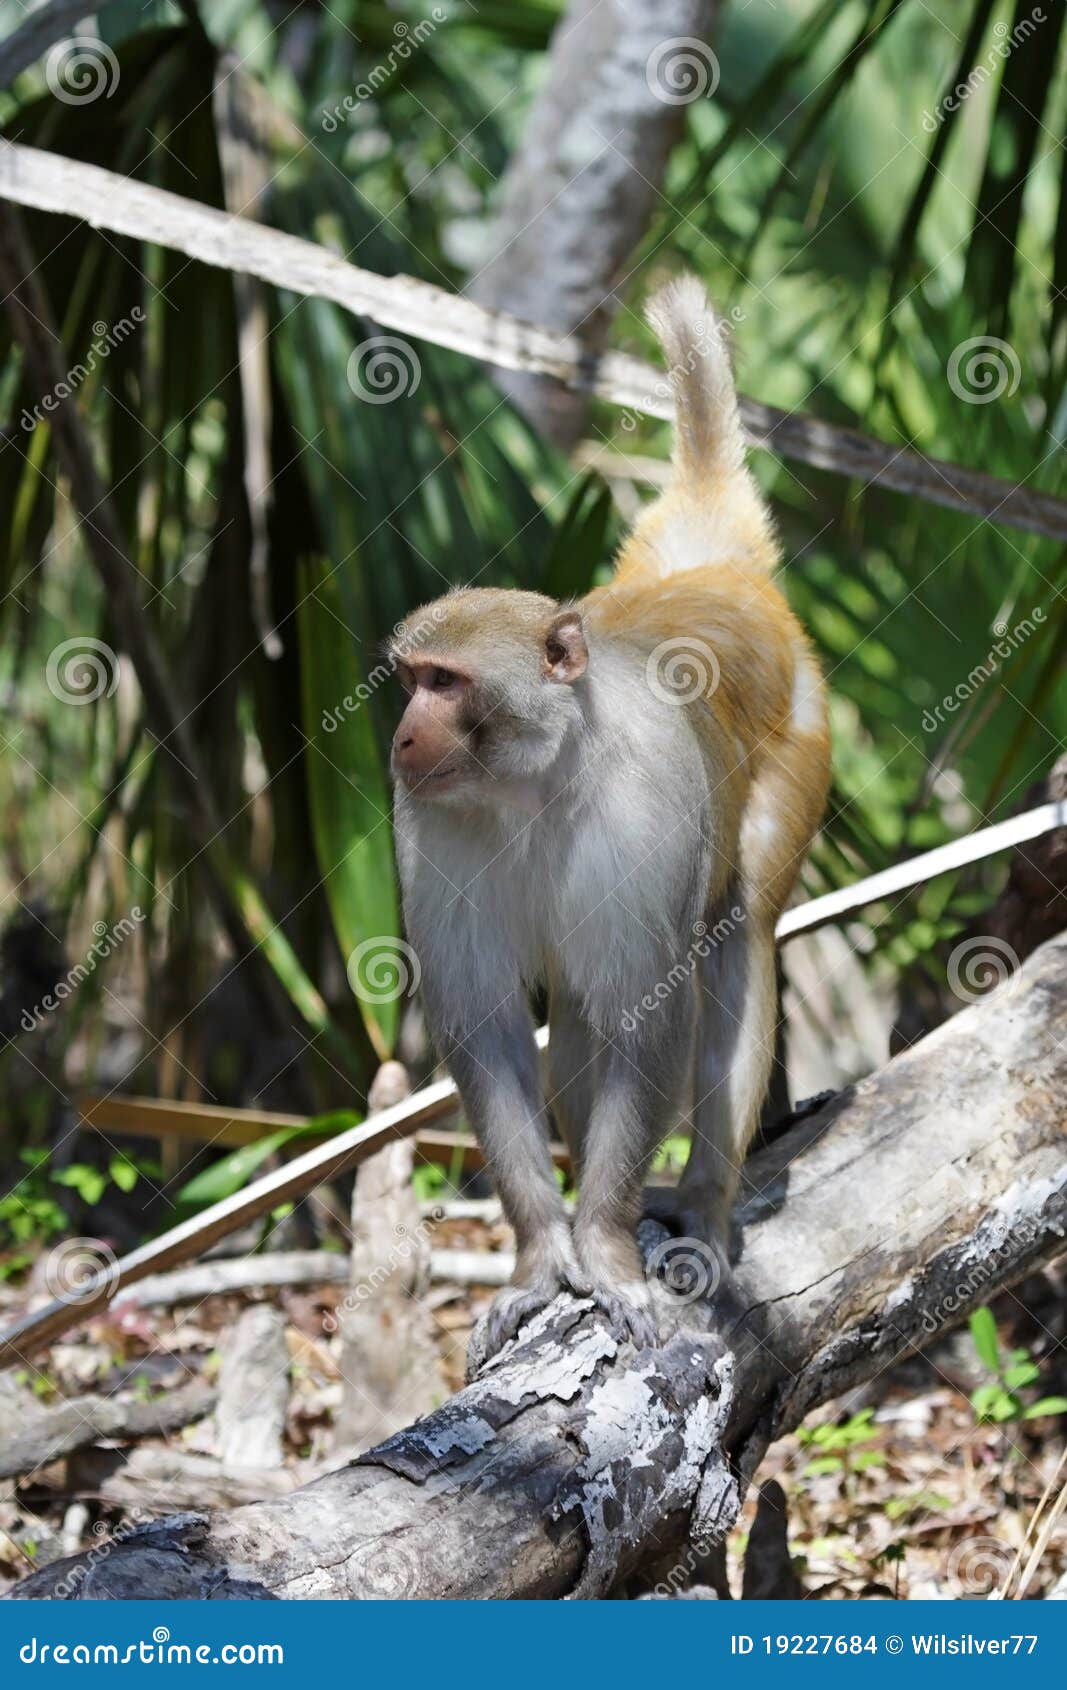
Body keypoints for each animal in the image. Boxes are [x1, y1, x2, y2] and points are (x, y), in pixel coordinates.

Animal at [387, 276, 831, 1367]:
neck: (535, 777)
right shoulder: (429, 814)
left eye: (445, 681)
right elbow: (488, 1020)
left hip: (799, 746)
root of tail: (709, 577)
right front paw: (546, 1256)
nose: (402, 735)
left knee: (736, 943)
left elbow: (650, 1006)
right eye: (407, 679)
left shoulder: (644, 808)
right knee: (582, 1006)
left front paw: (605, 1251)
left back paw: (704, 1205)